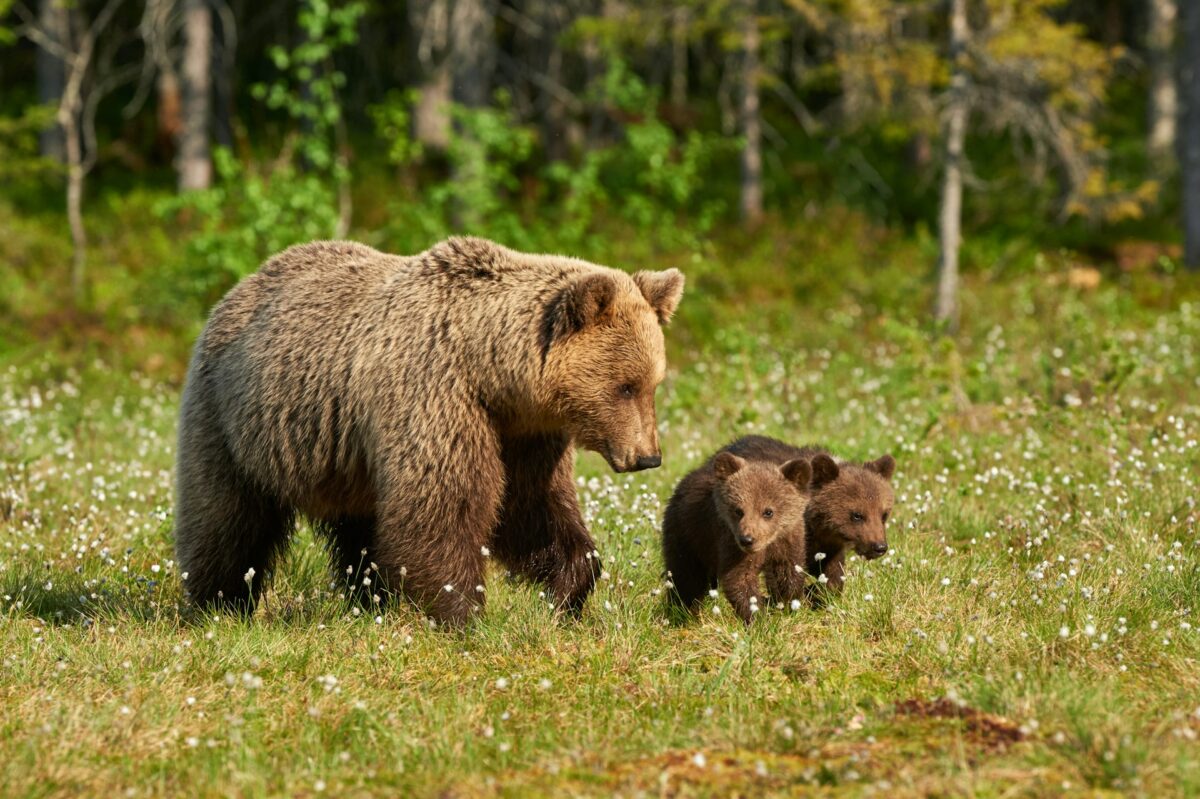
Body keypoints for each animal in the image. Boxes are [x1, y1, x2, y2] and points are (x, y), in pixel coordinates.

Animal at [173, 236, 685, 626]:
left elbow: (531, 508)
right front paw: (462, 611)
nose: (648, 456)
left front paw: (569, 591)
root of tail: (242, 286)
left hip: (346, 458)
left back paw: (368, 600)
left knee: (360, 530)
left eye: (652, 383)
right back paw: (219, 605)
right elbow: (442, 505)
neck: (489, 371)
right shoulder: (433, 395)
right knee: (227, 517)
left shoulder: (523, 433)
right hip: (235, 418)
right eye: (625, 386)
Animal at [661, 444, 812, 624]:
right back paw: (682, 612)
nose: (747, 539)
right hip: (688, 535)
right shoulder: (729, 540)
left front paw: (787, 606)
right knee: (686, 577)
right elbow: (739, 578)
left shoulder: (787, 539)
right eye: (738, 510)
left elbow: (787, 571)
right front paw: (756, 617)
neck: (768, 543)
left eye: (768, 511)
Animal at [722, 436, 896, 601]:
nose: (879, 547)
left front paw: (819, 593)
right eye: (857, 515)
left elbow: (833, 574)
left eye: (884, 514)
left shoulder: (828, 546)